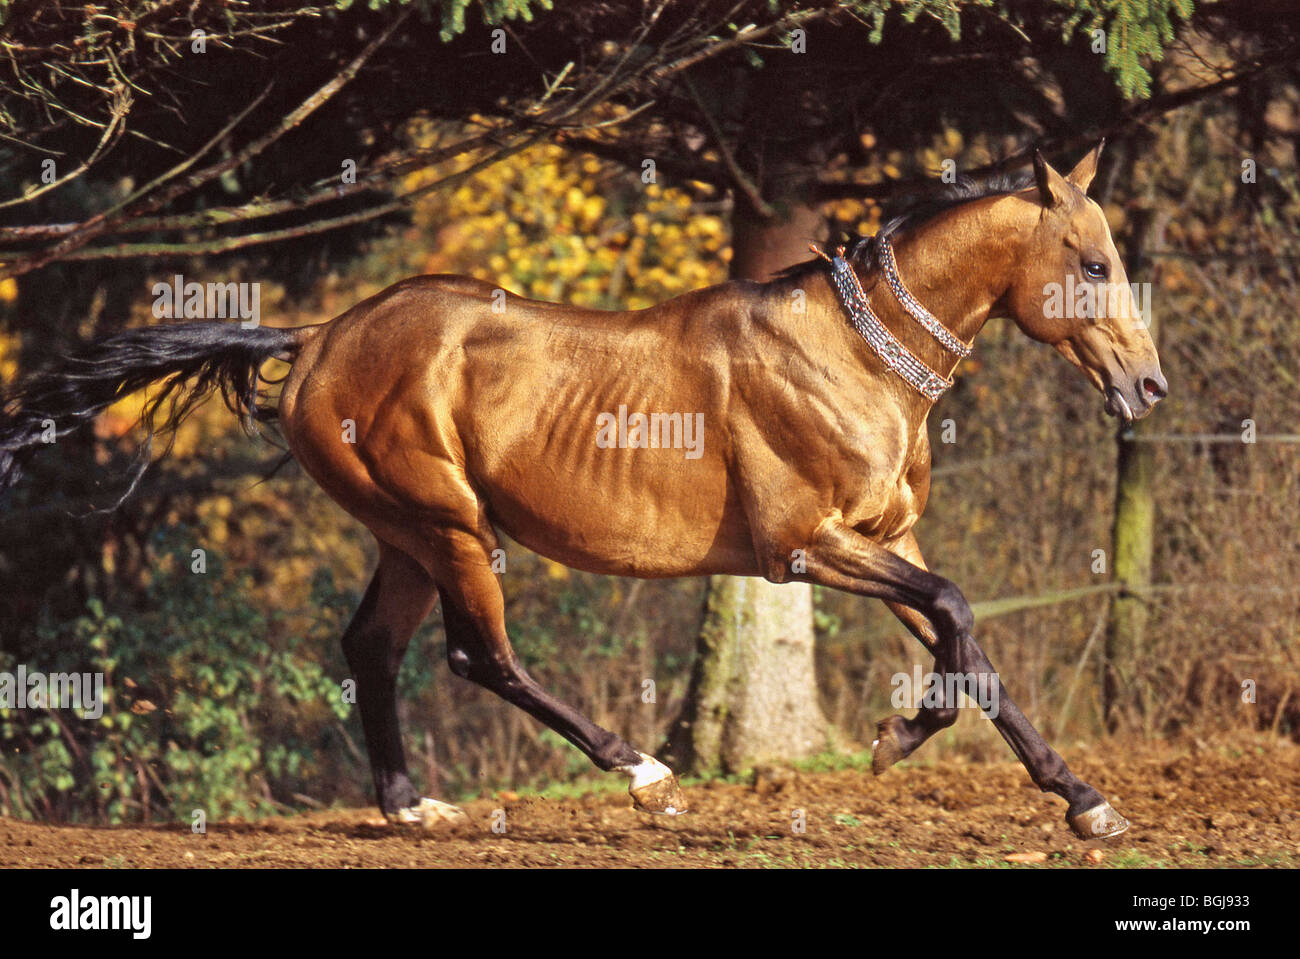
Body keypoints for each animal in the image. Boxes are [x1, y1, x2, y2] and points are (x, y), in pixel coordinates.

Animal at [0, 143, 1165, 839]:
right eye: (1092, 262)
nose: (1147, 385)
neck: (848, 353)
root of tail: (320, 335)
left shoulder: (891, 541)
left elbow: (971, 647)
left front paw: (1084, 801)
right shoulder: (806, 544)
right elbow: (961, 616)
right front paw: (897, 740)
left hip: (405, 536)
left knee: (372, 646)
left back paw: (409, 806)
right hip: (452, 527)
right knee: (481, 655)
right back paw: (642, 771)